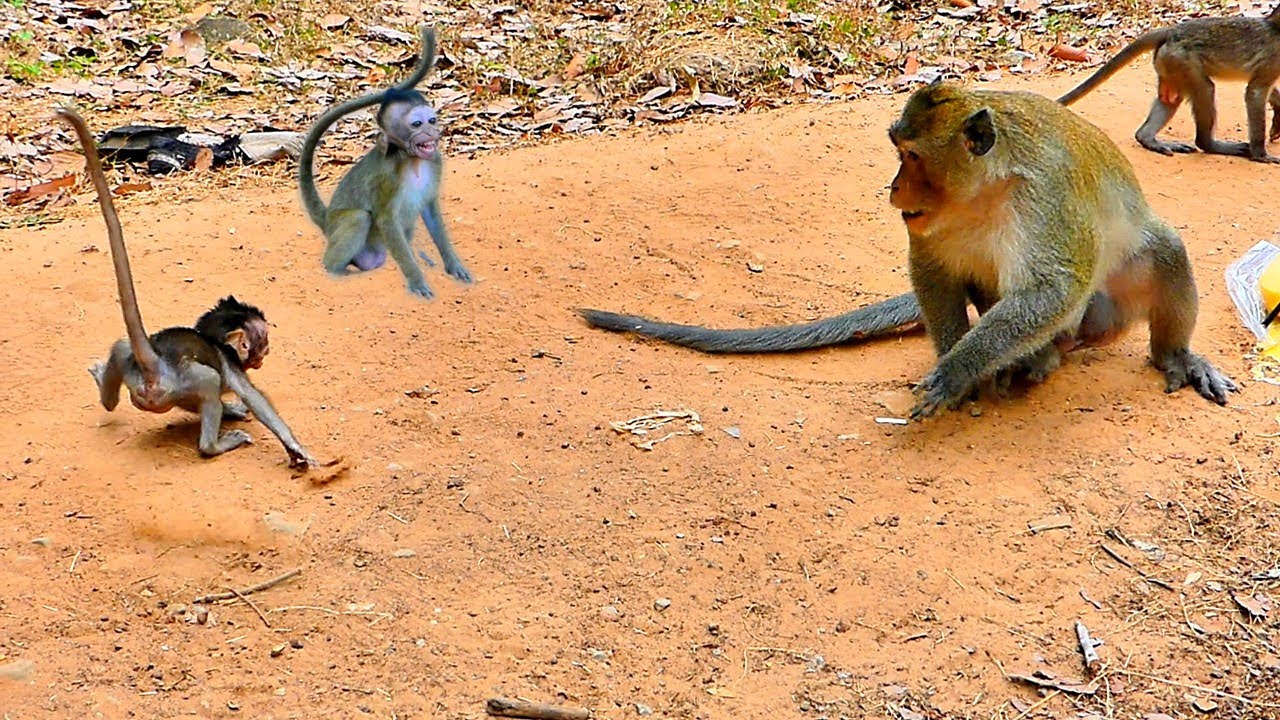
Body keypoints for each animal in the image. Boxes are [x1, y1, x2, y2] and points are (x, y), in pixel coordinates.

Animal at [57, 107, 317, 467]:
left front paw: (232, 411)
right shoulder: (230, 365)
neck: (215, 339)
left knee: (120, 348)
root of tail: (155, 367)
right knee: (208, 382)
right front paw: (294, 447)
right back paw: (214, 446)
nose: (265, 357)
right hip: (180, 382)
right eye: (262, 346)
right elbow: (253, 397)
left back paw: (104, 390)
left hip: (136, 375)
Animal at [298, 24, 472, 299]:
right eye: (417, 124)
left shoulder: (435, 161)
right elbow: (386, 219)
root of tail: (327, 220)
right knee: (359, 218)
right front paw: (416, 279)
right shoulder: (387, 177)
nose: (432, 134)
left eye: (432, 121)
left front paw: (453, 264)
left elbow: (430, 210)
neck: (411, 159)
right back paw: (335, 271)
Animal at [578, 80, 1238, 419]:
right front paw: (961, 369)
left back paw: (1167, 355)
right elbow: (934, 269)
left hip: (1113, 302)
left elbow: (1053, 287)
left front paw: (958, 370)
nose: (894, 188)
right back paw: (1036, 361)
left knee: (1162, 252)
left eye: (912, 156)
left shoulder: (1048, 195)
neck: (987, 187)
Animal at [1057, 5, 1280, 163]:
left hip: (1169, 63)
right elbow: (1255, 91)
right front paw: (1260, 154)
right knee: (1205, 90)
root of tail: (1171, 31)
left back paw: (1147, 137)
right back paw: (1210, 144)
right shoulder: (1273, 56)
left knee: (1171, 98)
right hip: (1181, 60)